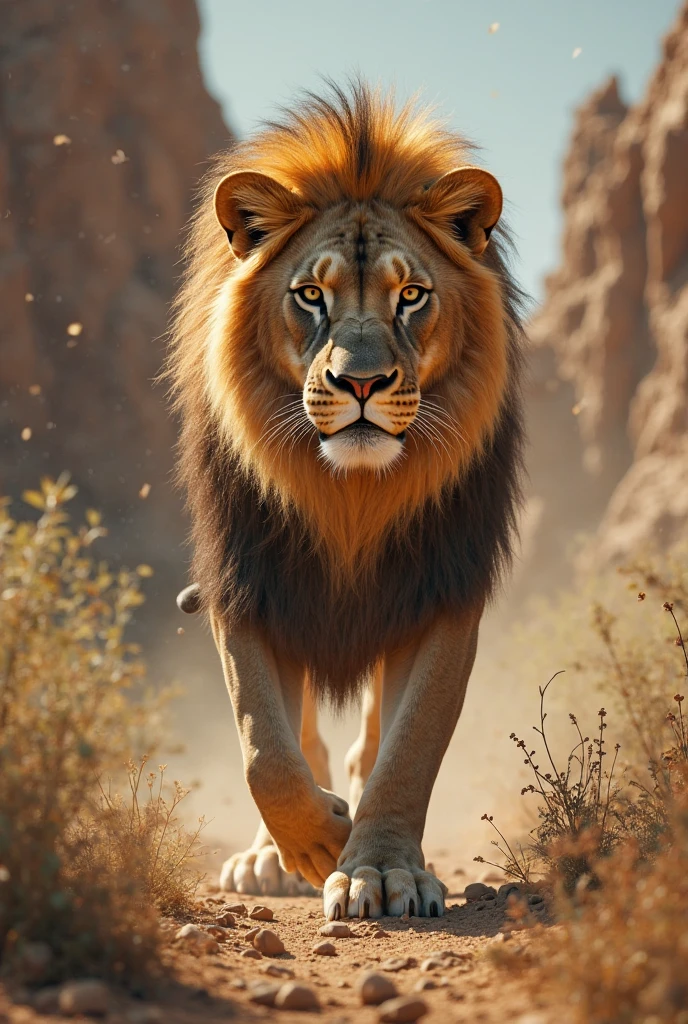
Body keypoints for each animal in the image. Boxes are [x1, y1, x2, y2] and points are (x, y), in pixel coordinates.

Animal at [169, 82, 525, 919]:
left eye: (412, 296)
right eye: (309, 296)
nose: (360, 383)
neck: (352, 497)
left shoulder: (444, 590)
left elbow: (409, 747)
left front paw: (383, 868)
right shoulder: (249, 582)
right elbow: (265, 747)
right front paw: (320, 842)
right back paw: (273, 857)